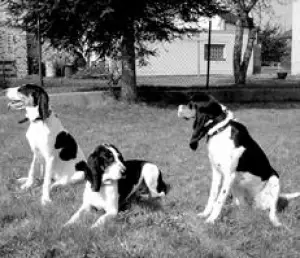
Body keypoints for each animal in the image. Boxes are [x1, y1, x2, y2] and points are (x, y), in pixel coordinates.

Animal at [178, 94, 300, 226]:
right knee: (239, 205)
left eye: (190, 104)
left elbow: (219, 201)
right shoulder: (216, 173)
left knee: (272, 210)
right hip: (236, 188)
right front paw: (205, 214)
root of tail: (254, 203)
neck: (220, 129)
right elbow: (212, 197)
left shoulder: (228, 175)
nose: (178, 106)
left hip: (274, 179)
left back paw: (275, 221)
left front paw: (211, 220)